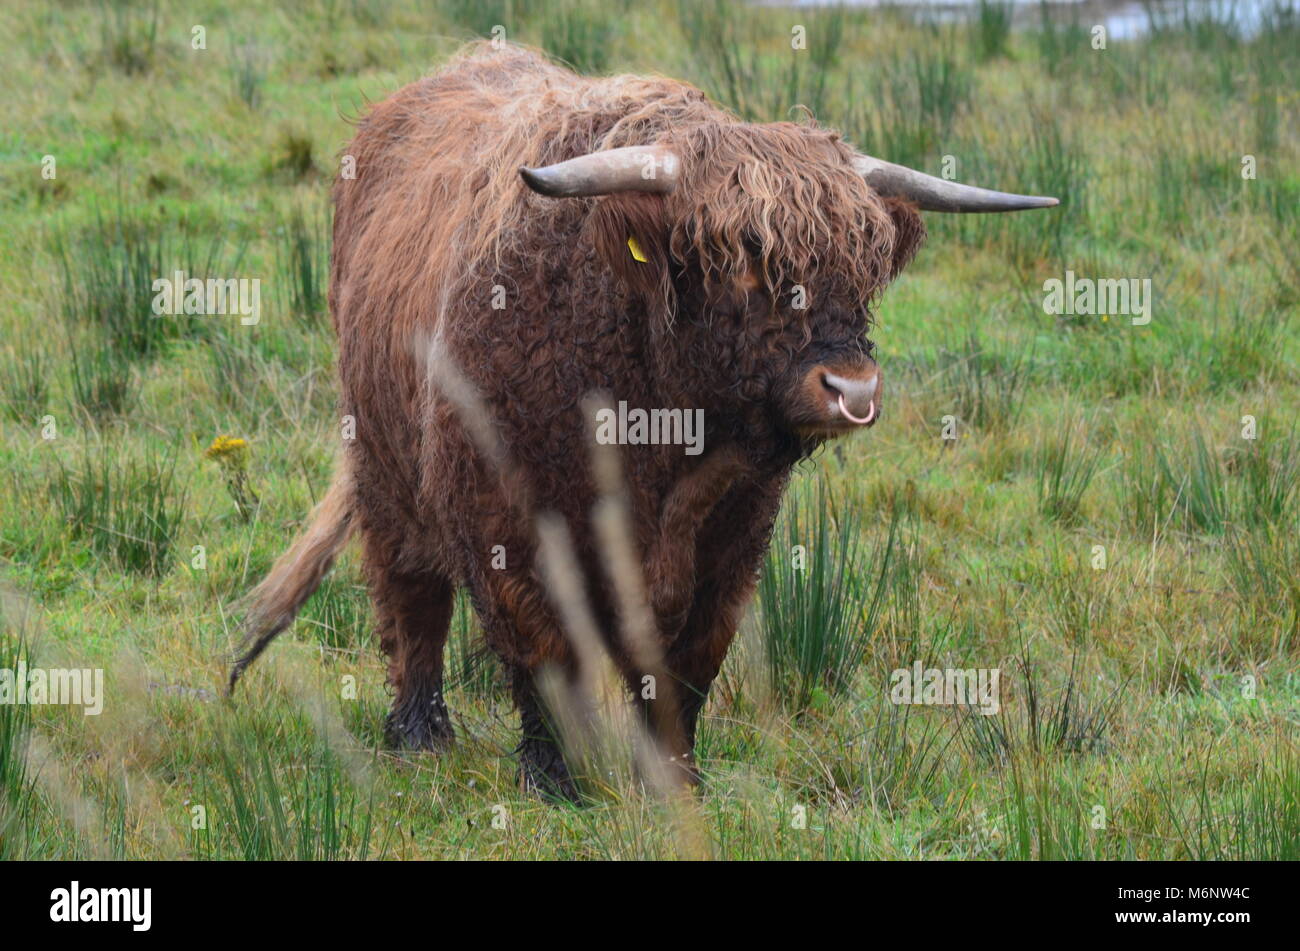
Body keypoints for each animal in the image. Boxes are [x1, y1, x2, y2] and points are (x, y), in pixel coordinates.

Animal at [228, 42, 1056, 799]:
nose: (851, 388)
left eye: (866, 265)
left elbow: (689, 661)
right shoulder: (505, 518)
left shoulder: (733, 534)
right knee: (409, 591)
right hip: (381, 456)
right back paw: (419, 732)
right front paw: (554, 778)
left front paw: (676, 780)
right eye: (742, 260)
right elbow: (542, 650)